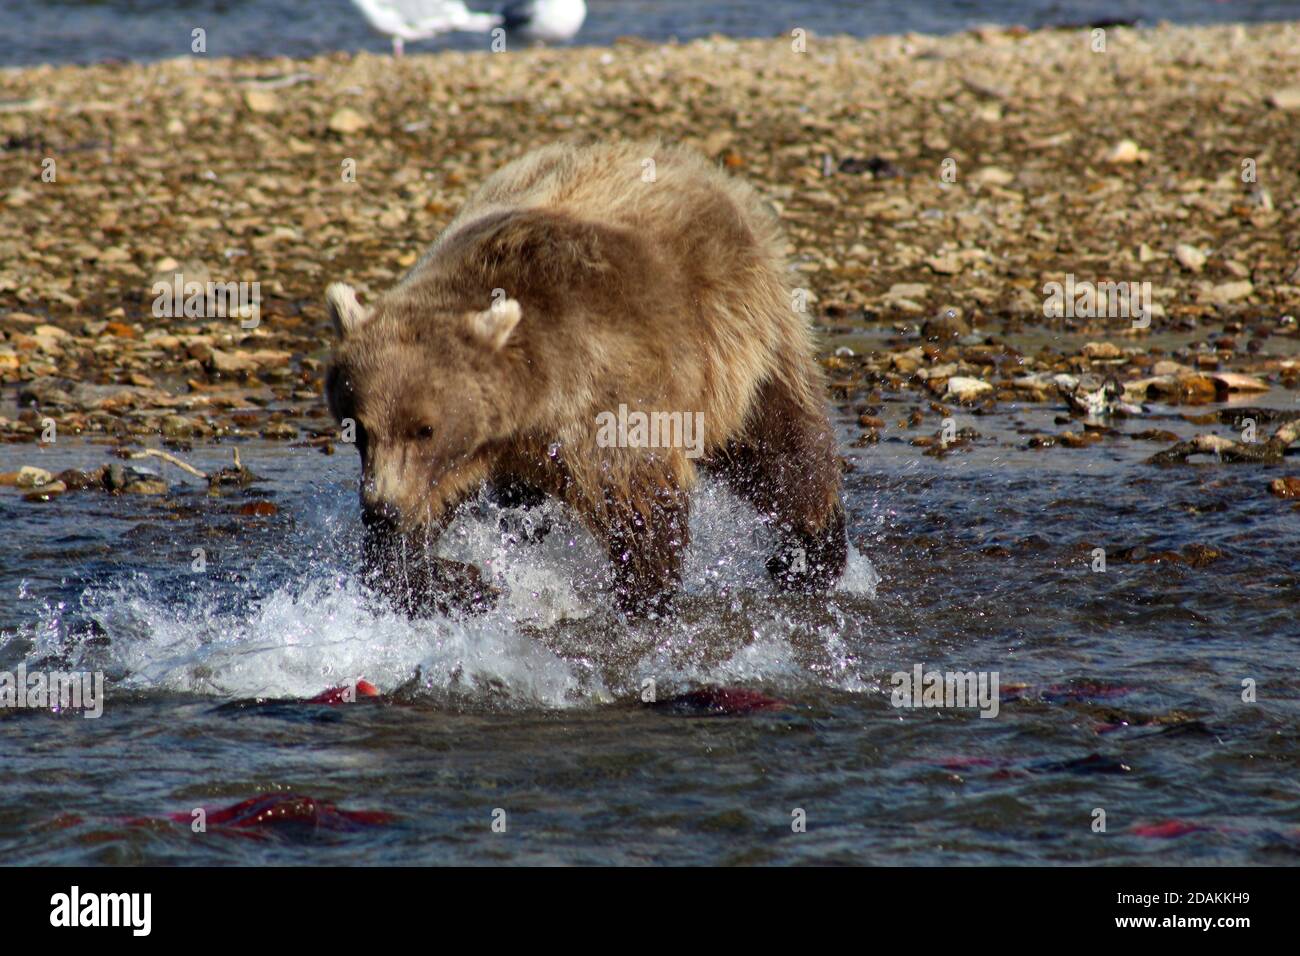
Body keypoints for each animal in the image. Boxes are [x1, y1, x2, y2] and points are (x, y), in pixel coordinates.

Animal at [324, 140, 847, 616]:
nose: (381, 510)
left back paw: (810, 554)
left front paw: (643, 596)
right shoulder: (468, 454)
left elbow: (642, 506)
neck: (534, 399)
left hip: (740, 337)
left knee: (780, 445)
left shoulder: (607, 396)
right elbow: (410, 540)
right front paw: (463, 581)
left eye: (425, 428)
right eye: (357, 429)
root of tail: (695, 164)